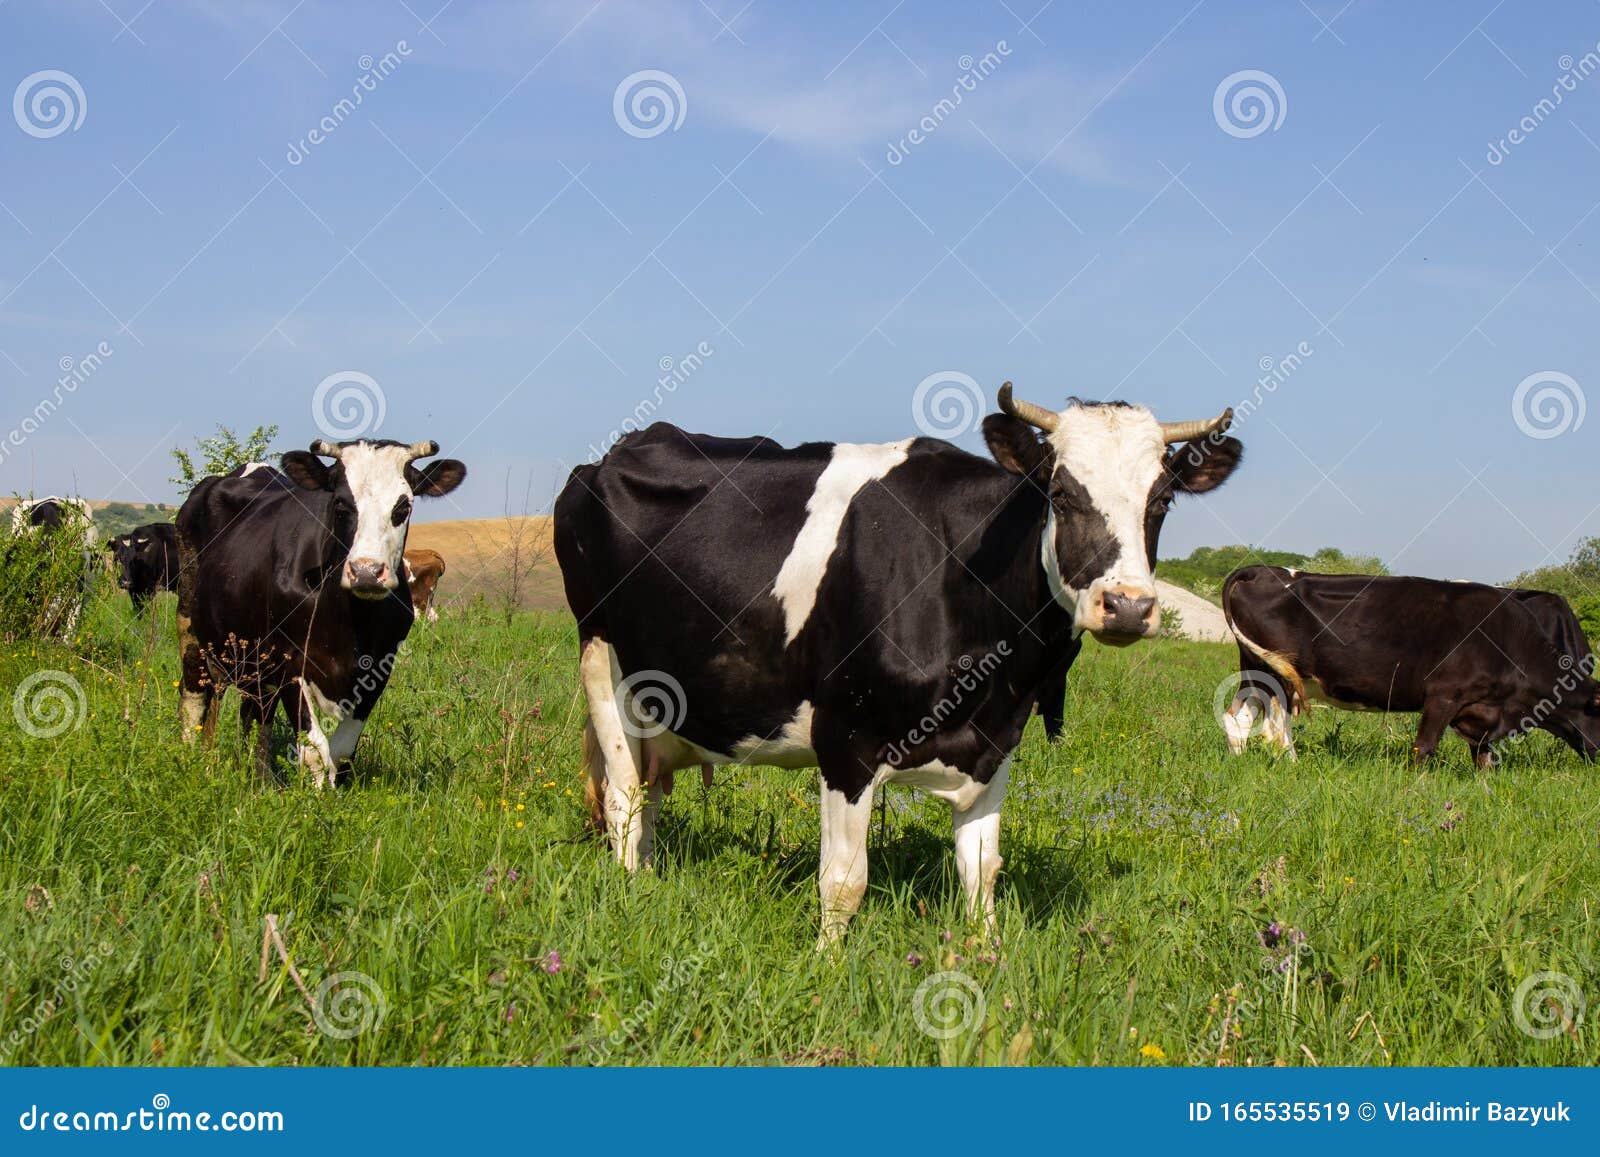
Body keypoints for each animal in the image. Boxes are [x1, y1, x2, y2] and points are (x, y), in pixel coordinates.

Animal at [175, 439, 466, 785]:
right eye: (340, 505)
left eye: (403, 508)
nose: (366, 572)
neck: (352, 618)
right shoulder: (288, 661)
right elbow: (314, 750)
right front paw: (314, 796)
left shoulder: (380, 666)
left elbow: (340, 750)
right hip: (191, 626)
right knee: (197, 698)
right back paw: (194, 761)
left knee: (256, 714)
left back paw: (259, 779)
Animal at [555, 386, 1242, 944]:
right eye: (1061, 493)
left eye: (1162, 501)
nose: (1128, 606)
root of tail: (618, 450)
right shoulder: (846, 742)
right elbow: (843, 882)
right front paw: (827, 975)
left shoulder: (995, 744)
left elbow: (981, 871)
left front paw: (986, 960)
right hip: (603, 664)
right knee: (624, 800)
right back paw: (629, 899)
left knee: (649, 796)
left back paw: (649, 883)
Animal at [1220, 565, 1600, 767]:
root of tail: (1262, 571)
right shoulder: (1444, 695)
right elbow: (1424, 749)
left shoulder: (1483, 711)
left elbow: (1484, 757)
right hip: (1282, 674)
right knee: (1278, 730)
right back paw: (1293, 765)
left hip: (1256, 670)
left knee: (1238, 718)